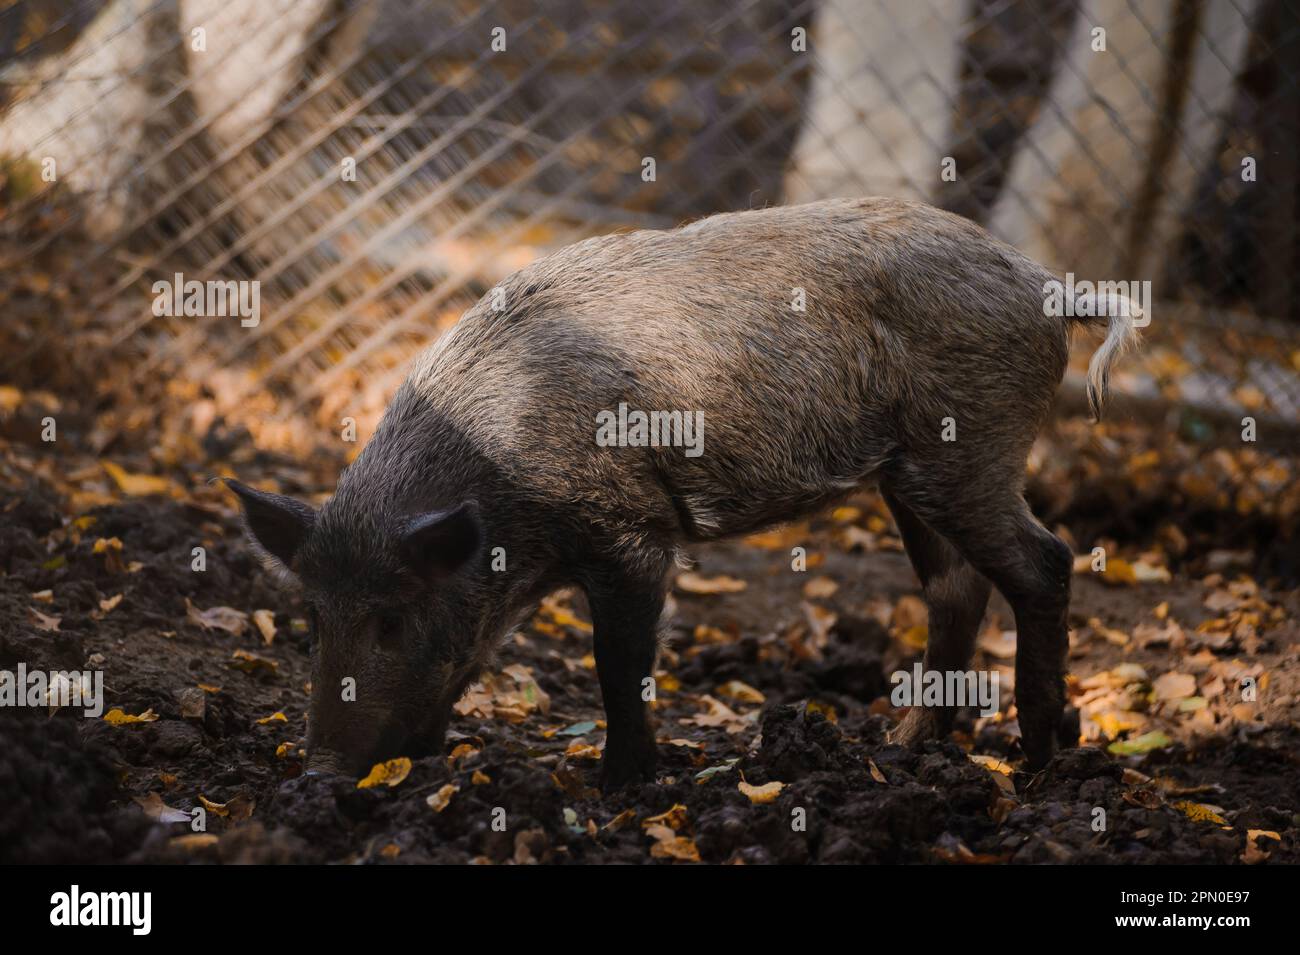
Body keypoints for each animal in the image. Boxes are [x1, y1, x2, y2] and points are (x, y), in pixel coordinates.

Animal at [226, 197, 1138, 788]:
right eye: (314, 618)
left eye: (393, 618)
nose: (320, 774)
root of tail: (1049, 287)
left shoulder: (630, 532)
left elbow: (619, 660)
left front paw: (623, 789)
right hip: (912, 475)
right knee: (958, 586)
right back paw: (903, 747)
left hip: (972, 449)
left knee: (1046, 562)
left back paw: (1038, 758)